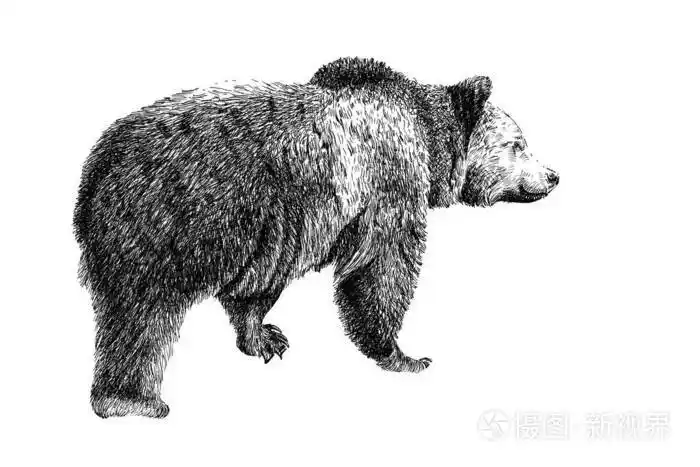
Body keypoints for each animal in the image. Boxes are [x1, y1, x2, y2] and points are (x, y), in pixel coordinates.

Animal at [74, 57, 558, 418]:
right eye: (519, 143)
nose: (553, 175)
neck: (426, 138)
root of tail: (98, 165)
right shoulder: (390, 186)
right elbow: (382, 270)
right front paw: (400, 354)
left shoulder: (276, 237)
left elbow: (257, 288)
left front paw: (263, 337)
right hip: (176, 223)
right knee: (143, 315)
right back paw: (133, 401)